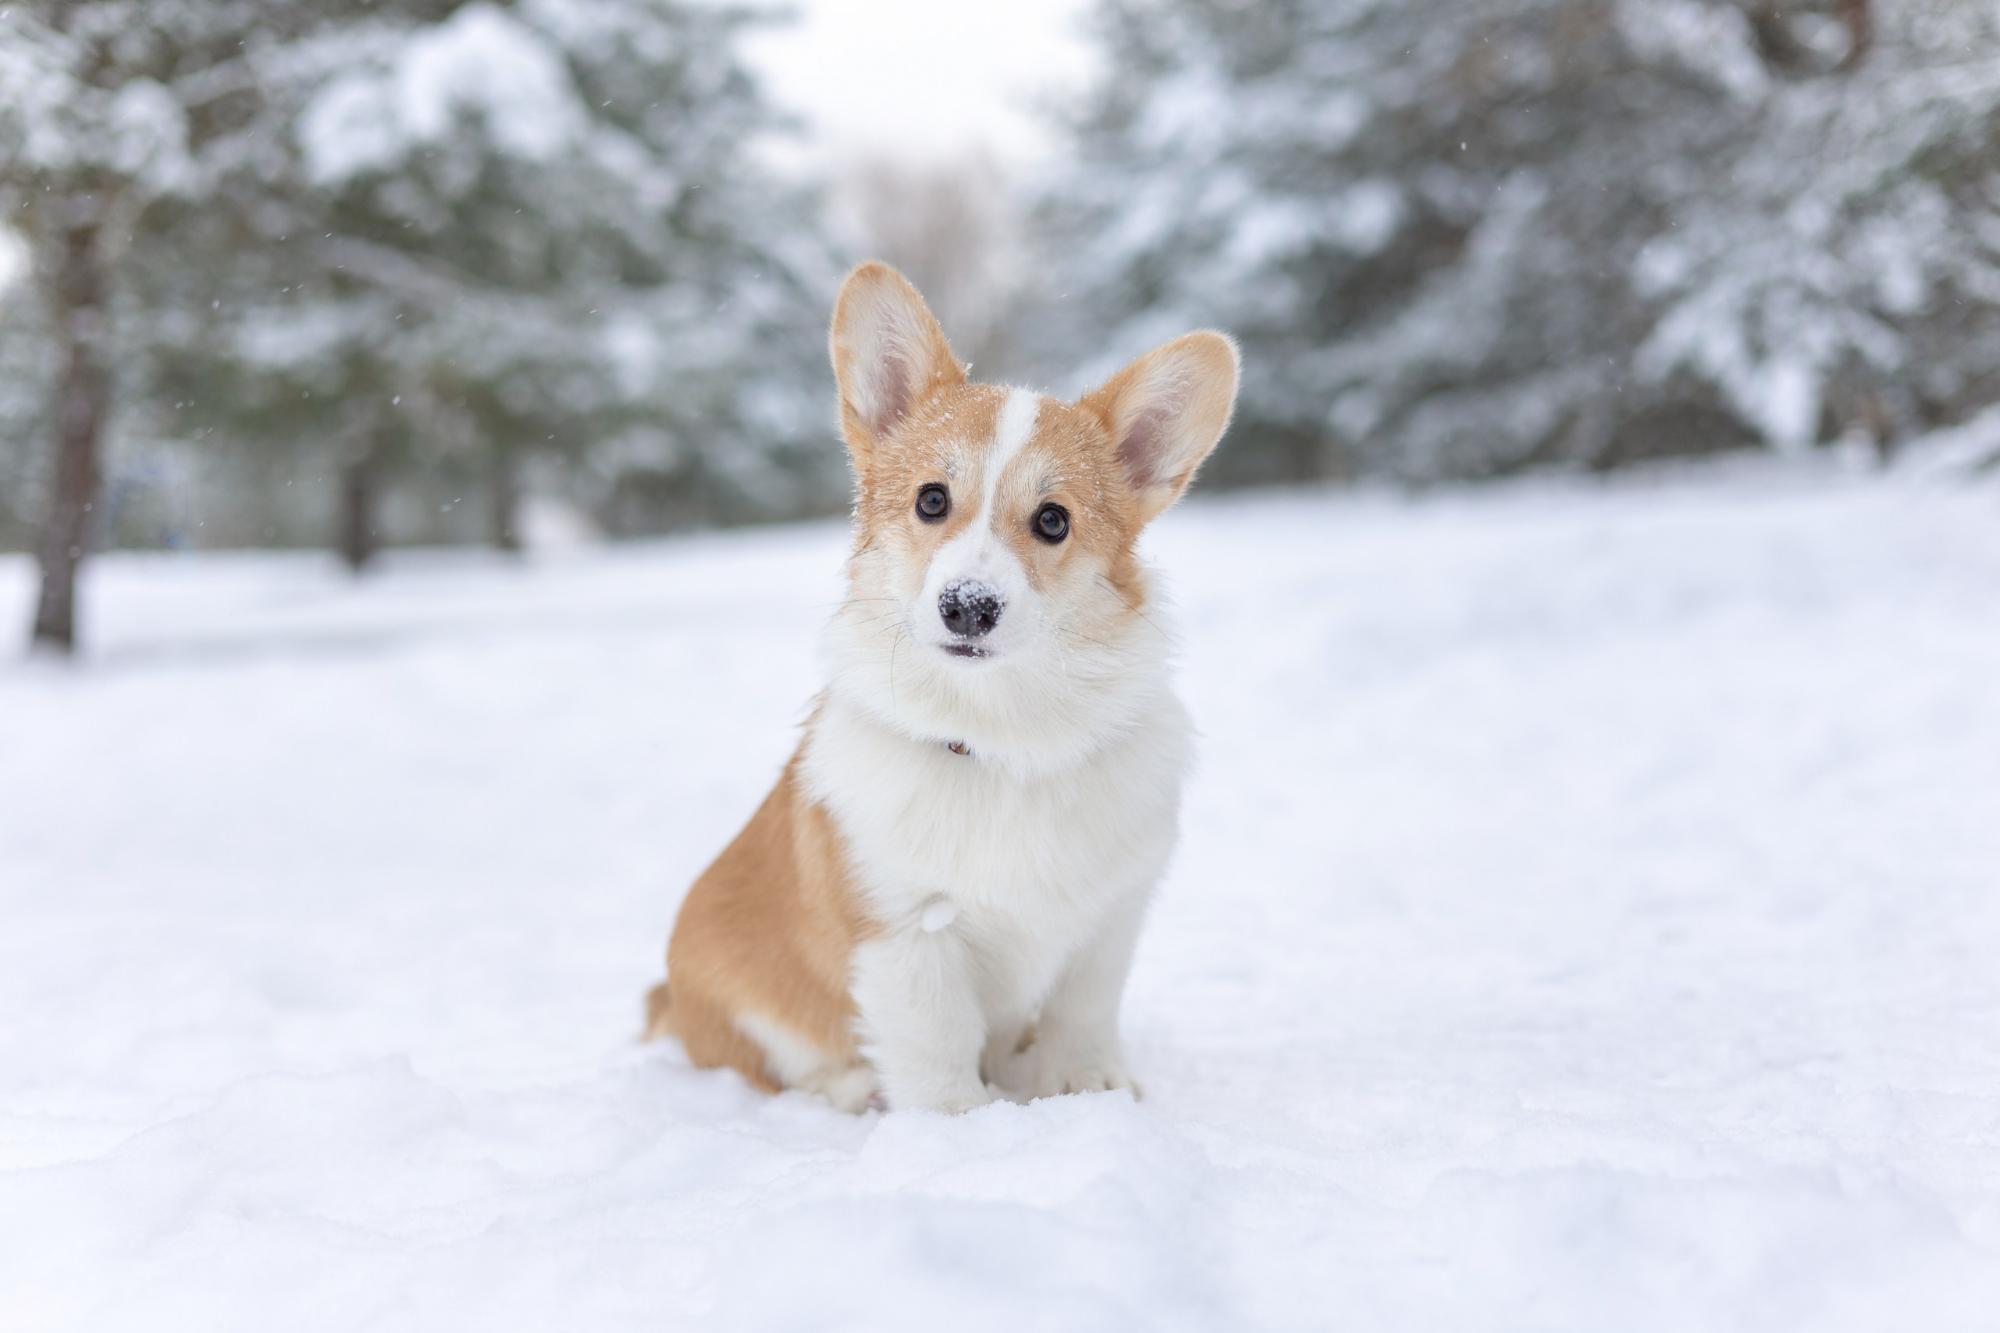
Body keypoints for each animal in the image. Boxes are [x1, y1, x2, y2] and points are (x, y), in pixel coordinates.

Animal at [640, 260, 1232, 1112]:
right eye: (931, 499)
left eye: (1053, 520)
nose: (969, 606)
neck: (1001, 738)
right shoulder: (905, 931)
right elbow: (937, 1050)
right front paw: (962, 1127)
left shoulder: (1110, 916)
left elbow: (1082, 1014)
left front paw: (1089, 1089)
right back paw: (847, 1084)